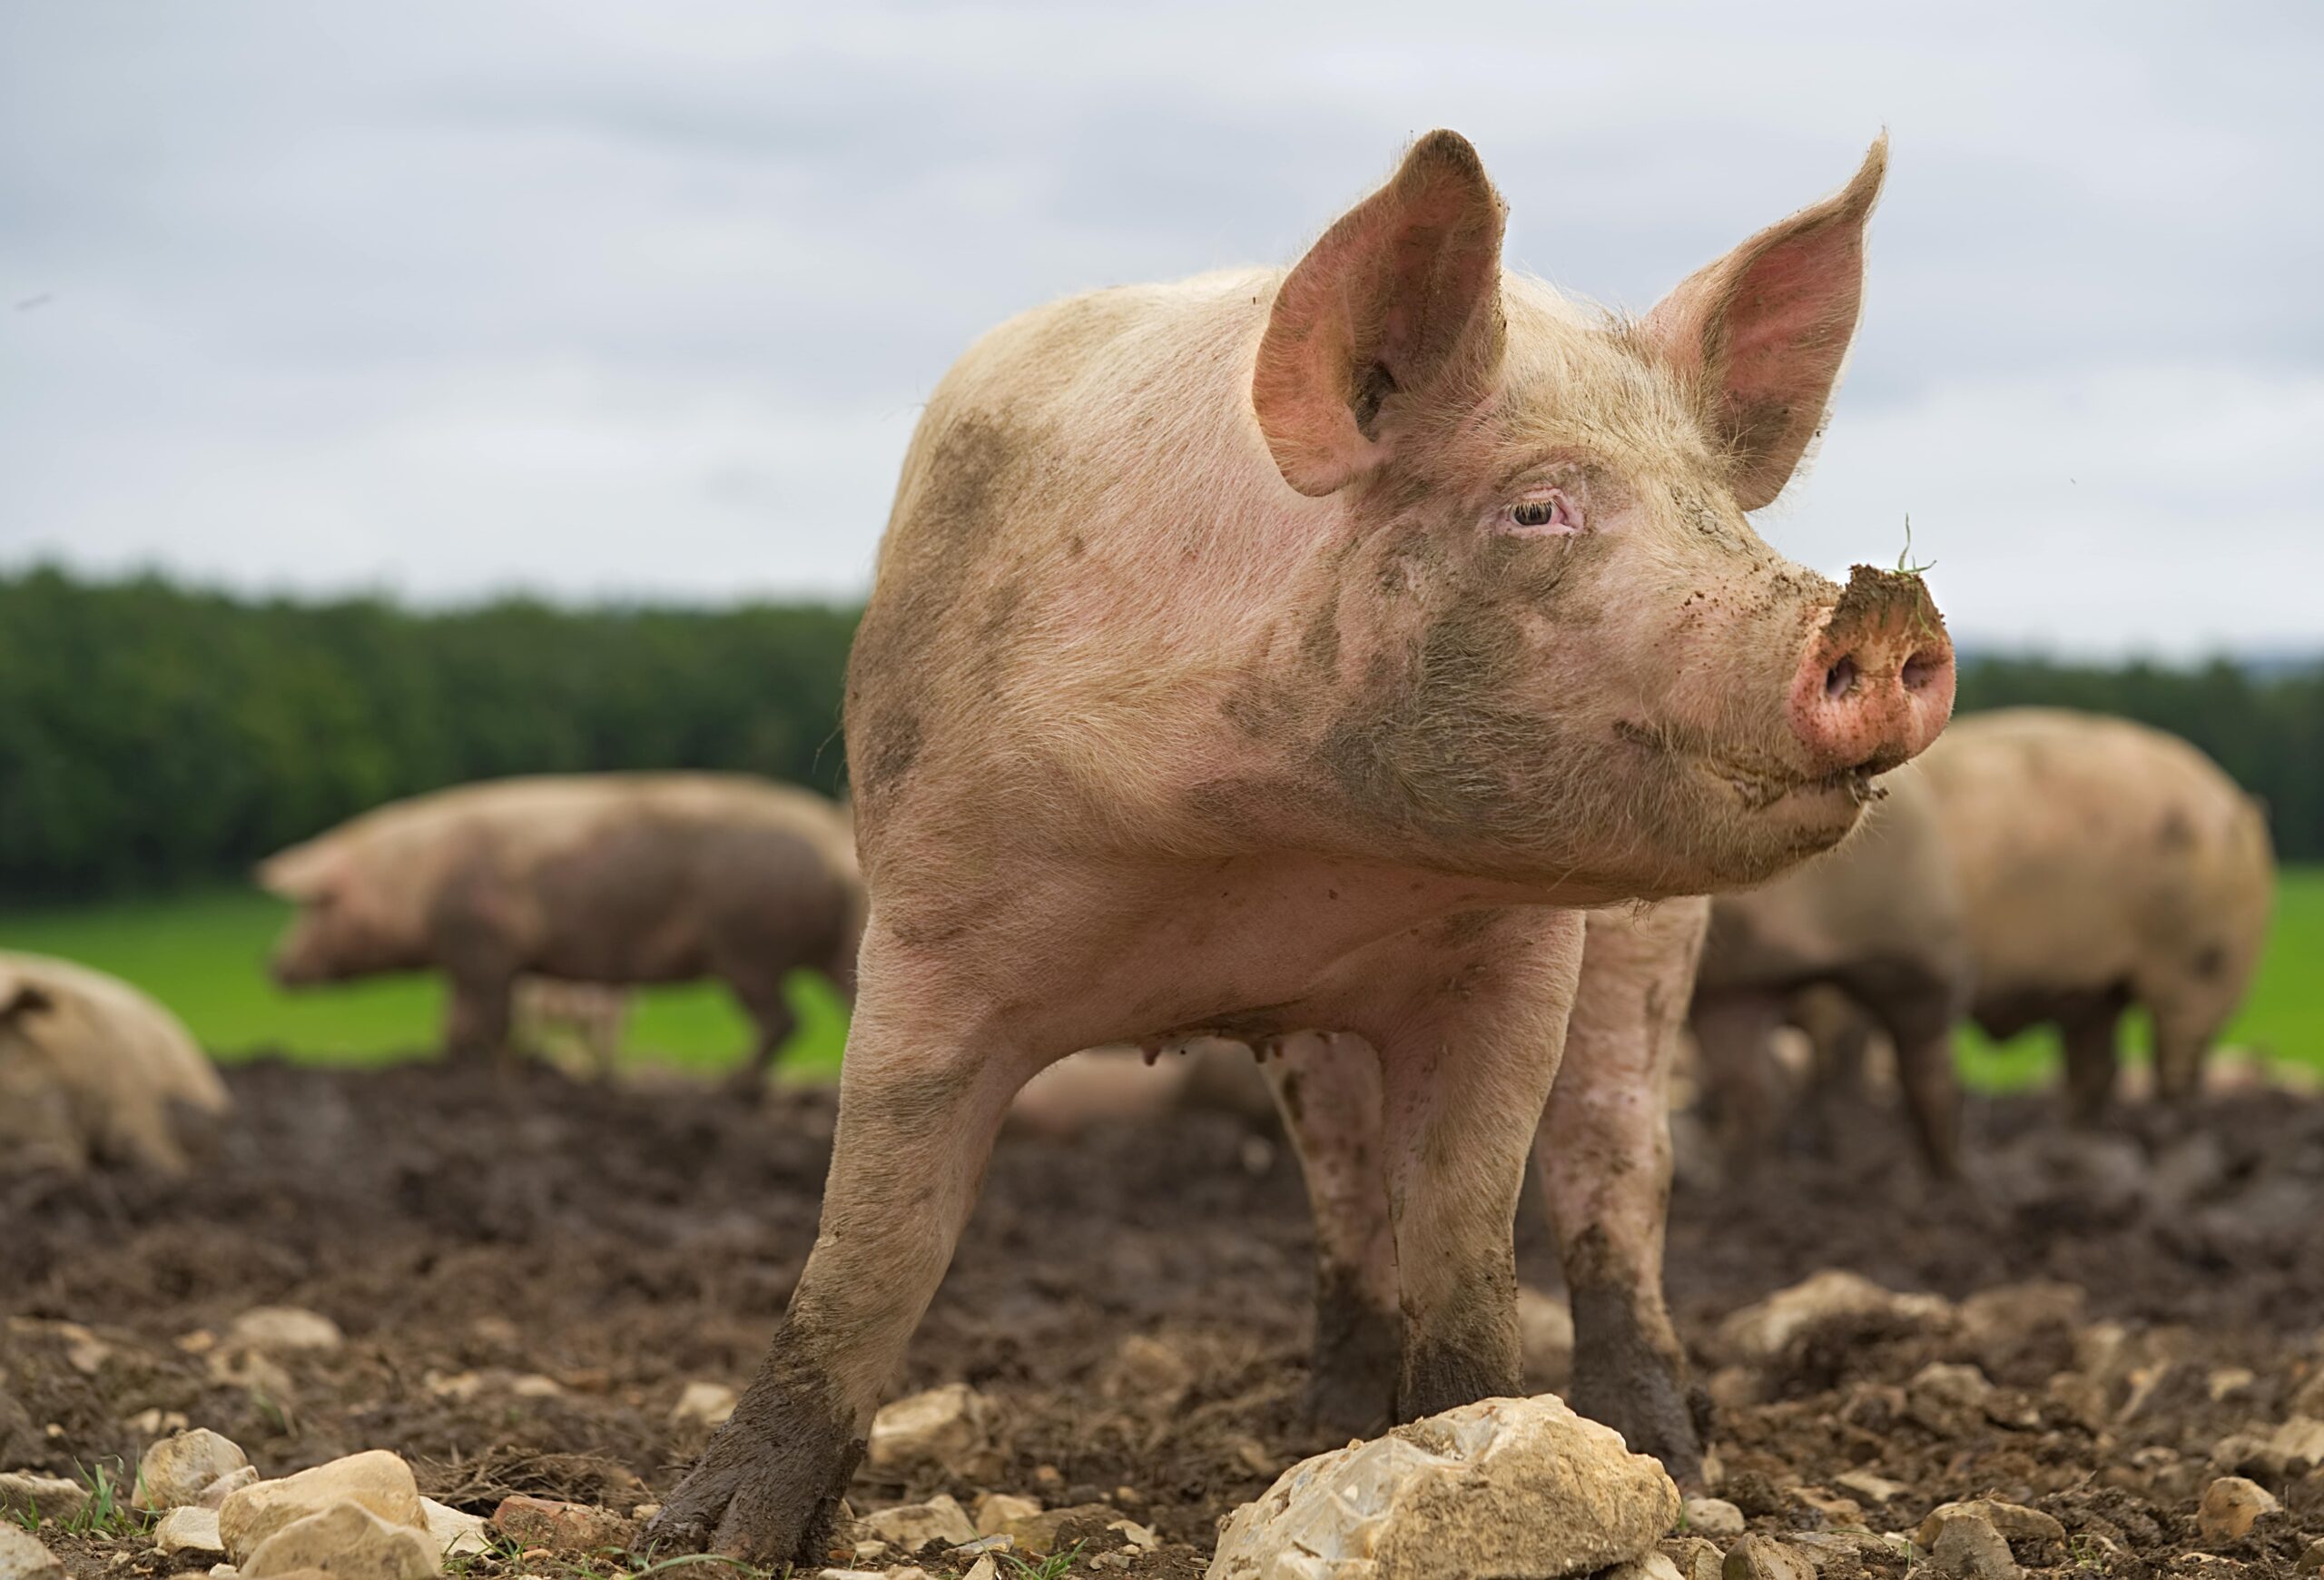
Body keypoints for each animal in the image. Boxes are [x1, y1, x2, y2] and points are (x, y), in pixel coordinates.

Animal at [258, 774, 862, 1083]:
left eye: (316, 907)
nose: (273, 966)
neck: (413, 881)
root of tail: (835, 842)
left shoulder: (482, 945)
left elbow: (484, 1022)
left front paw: (481, 1071)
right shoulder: (472, 960)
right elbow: (461, 1023)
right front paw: (452, 1066)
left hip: (747, 945)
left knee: (783, 1021)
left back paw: (727, 1090)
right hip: (831, 947)